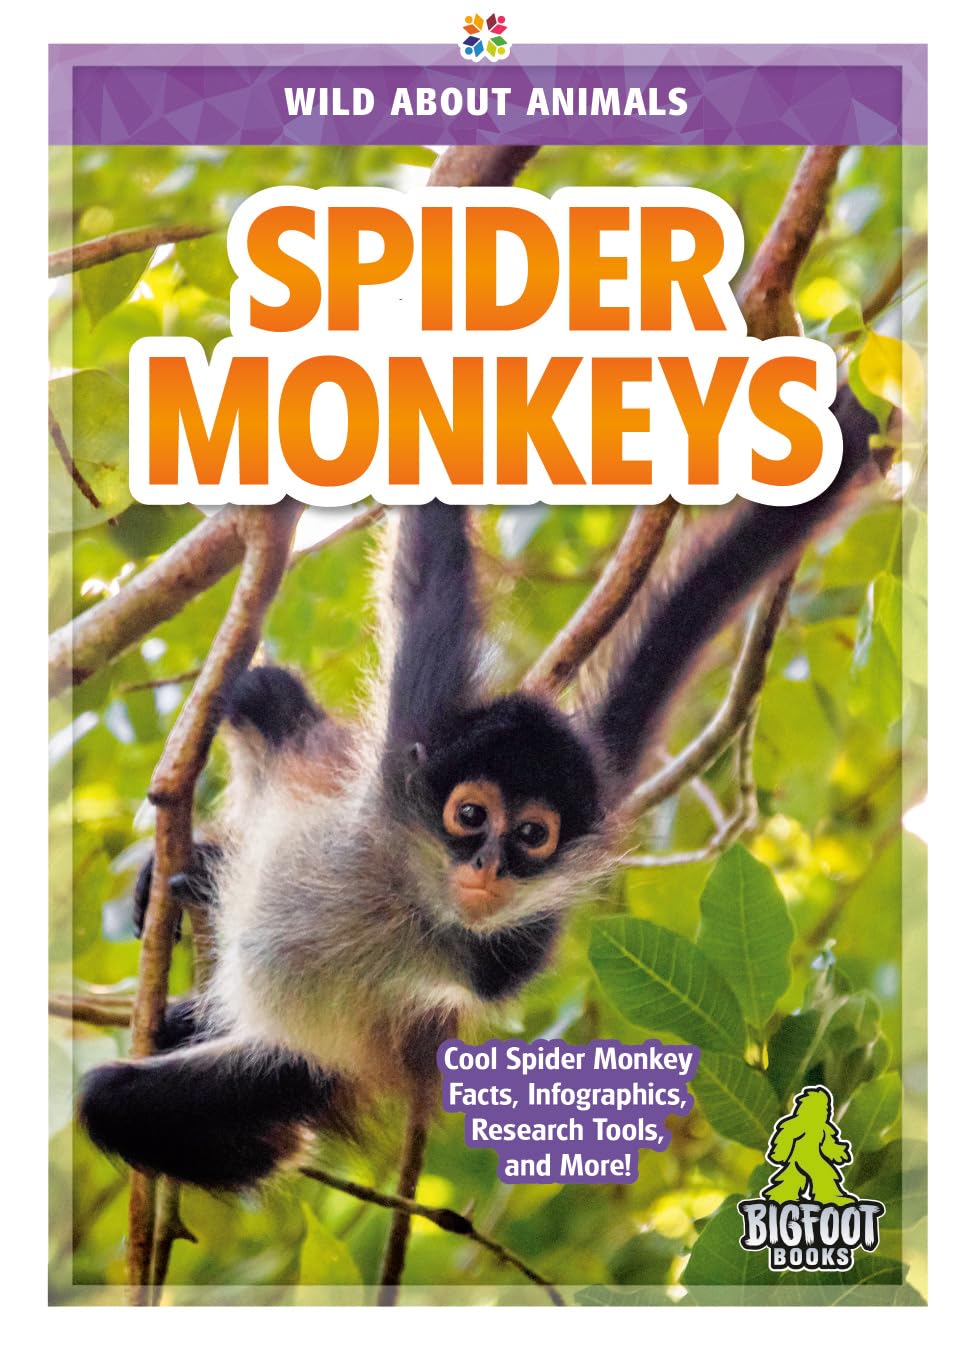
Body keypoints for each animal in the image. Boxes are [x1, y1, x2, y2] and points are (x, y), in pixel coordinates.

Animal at [79, 388, 880, 1193]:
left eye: (531, 836)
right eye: (470, 815)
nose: (488, 867)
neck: (404, 885)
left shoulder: (505, 953)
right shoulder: (416, 728)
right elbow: (429, 571)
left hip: (294, 1061)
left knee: (118, 1099)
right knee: (261, 692)